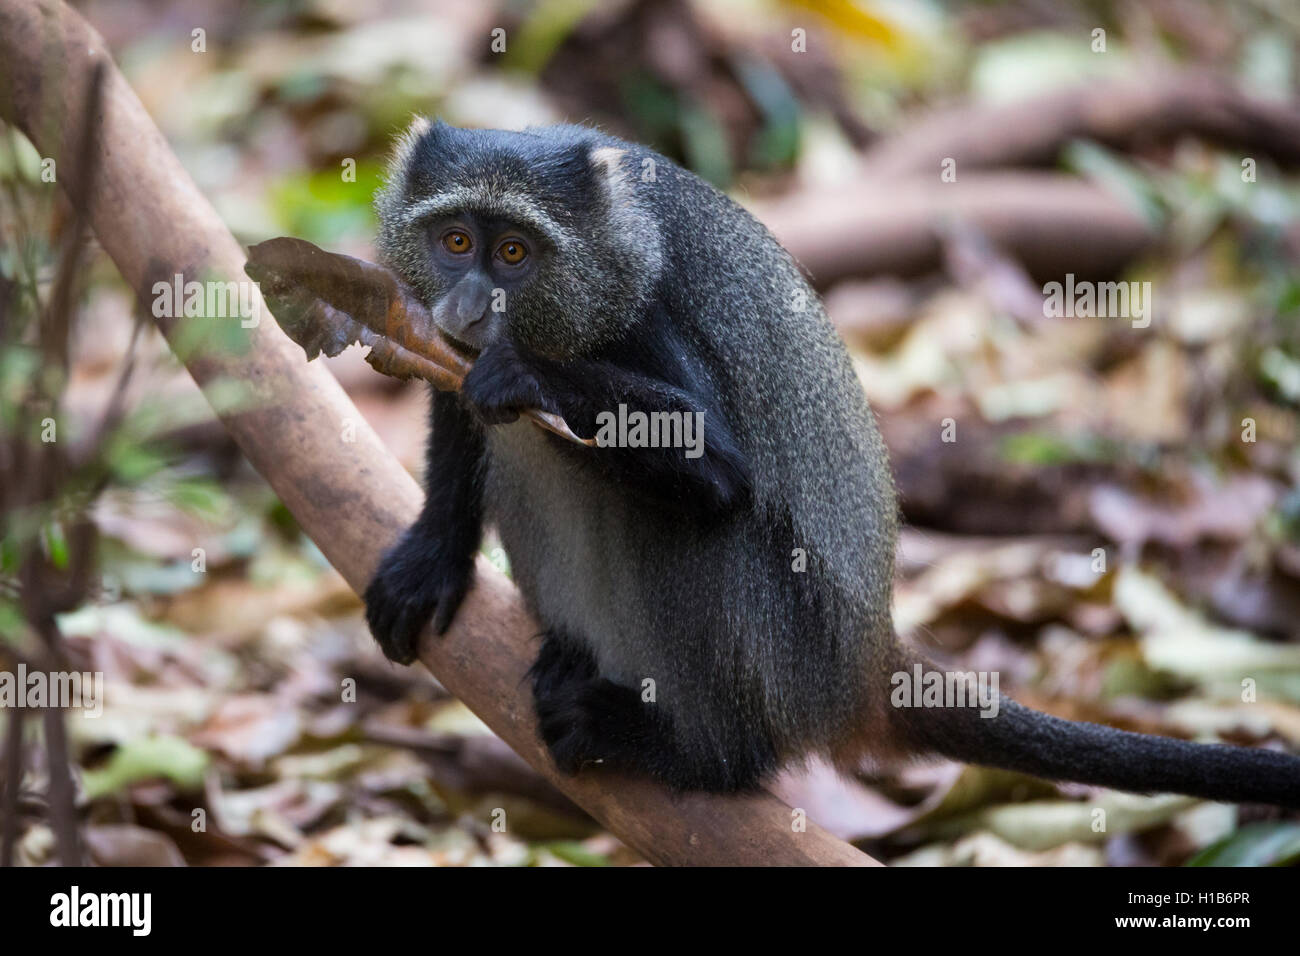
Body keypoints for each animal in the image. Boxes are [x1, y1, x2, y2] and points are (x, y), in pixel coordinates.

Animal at [362, 118, 1300, 806]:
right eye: (455, 241)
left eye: (514, 254)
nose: (468, 304)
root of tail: (863, 664)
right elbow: (454, 400)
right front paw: (432, 555)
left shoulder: (645, 321)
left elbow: (716, 472)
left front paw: (522, 373)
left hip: (787, 657)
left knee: (680, 526)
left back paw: (697, 753)